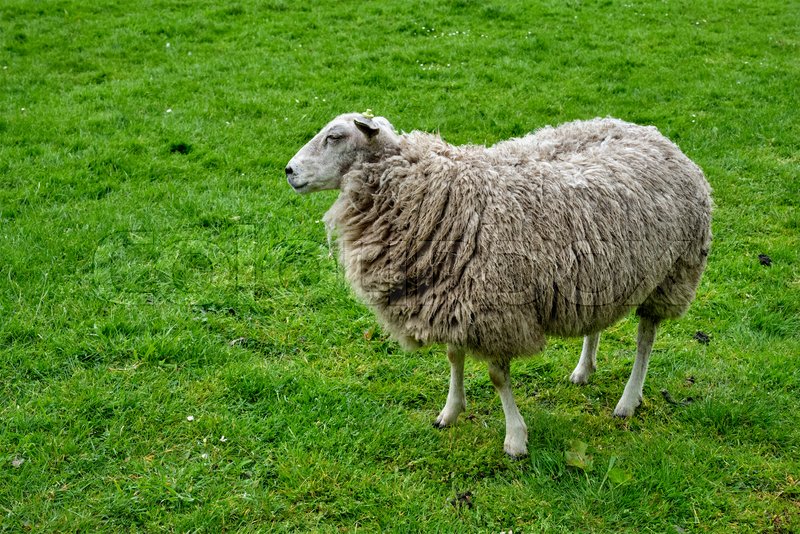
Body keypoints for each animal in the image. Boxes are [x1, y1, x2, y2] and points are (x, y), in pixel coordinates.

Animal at [285, 112, 712, 457]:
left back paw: (628, 400)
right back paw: (583, 369)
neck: (428, 191)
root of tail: (656, 135)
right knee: (598, 322)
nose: (288, 170)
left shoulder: (497, 309)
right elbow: (453, 357)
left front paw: (515, 439)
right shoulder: (453, 298)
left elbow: (496, 377)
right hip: (602, 275)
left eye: (335, 136)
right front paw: (450, 411)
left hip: (672, 274)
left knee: (646, 338)